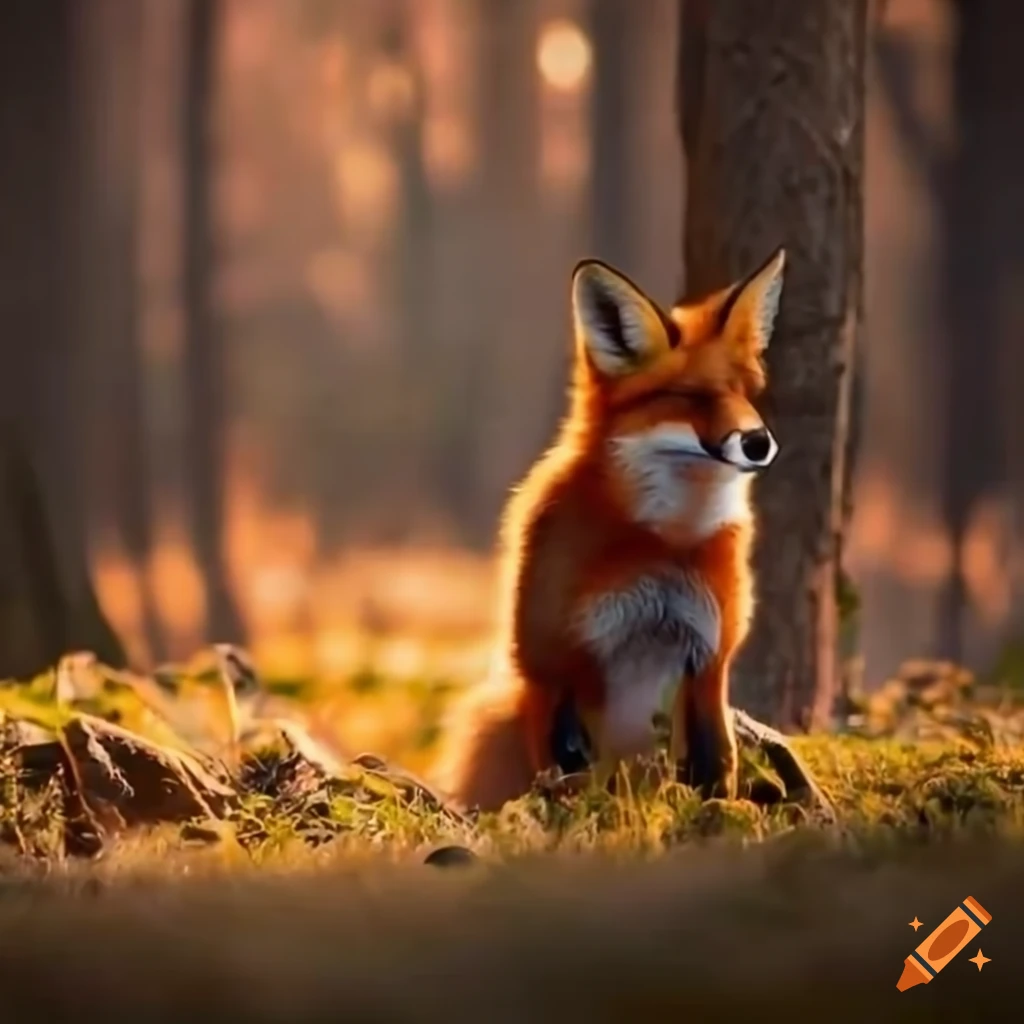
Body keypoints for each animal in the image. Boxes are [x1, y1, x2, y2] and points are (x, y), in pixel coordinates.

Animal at [432, 249, 786, 812]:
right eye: (689, 396)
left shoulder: (710, 657)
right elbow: (561, 776)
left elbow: (716, 768)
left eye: (750, 393)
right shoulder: (553, 665)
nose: (758, 443)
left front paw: (717, 814)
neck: (665, 541)